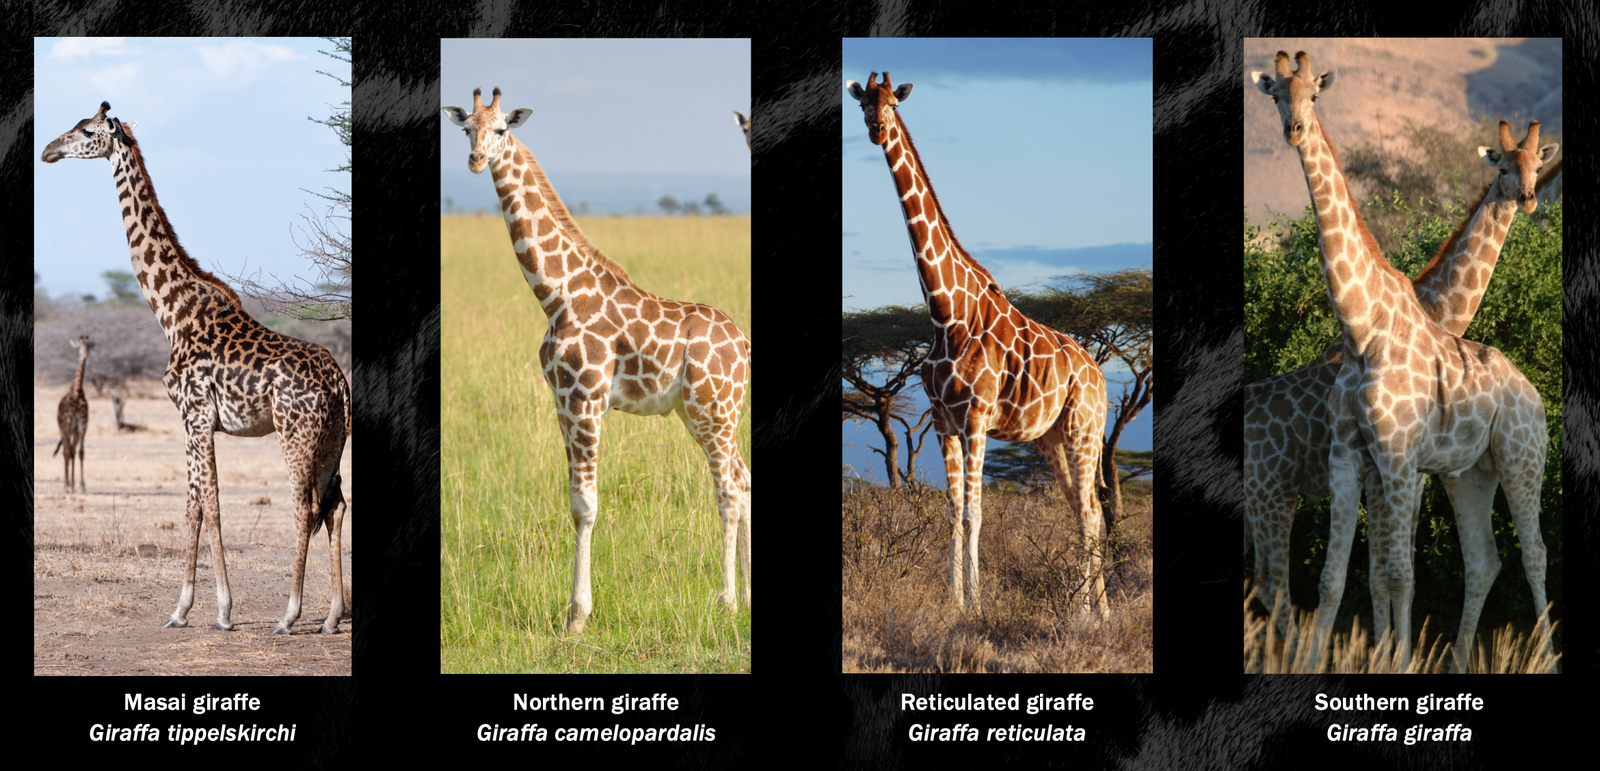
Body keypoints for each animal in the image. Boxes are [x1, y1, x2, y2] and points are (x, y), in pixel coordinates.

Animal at [53, 335, 93, 492]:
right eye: (80, 347)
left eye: (90, 346)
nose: (85, 356)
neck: (77, 393)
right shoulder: (69, 424)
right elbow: (68, 452)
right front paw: (67, 485)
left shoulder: (82, 425)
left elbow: (81, 452)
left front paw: (82, 484)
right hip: (63, 428)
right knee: (66, 451)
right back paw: (66, 484)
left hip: (74, 431)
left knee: (73, 451)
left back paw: (72, 483)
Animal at [443, 88, 752, 634]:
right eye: (466, 129)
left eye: (501, 129)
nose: (477, 159)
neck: (557, 295)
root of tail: (745, 346)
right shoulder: (563, 404)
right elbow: (572, 501)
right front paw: (574, 611)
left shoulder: (585, 401)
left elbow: (586, 505)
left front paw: (577, 617)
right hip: (705, 415)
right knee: (746, 480)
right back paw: (751, 597)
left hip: (713, 412)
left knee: (729, 489)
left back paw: (728, 602)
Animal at [846, 73, 1110, 616]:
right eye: (863, 104)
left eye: (892, 104)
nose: (877, 130)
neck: (945, 312)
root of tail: (1101, 377)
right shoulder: (943, 423)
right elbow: (953, 512)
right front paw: (956, 602)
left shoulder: (976, 419)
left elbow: (976, 512)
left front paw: (979, 606)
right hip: (1053, 438)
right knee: (1085, 511)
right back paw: (1094, 612)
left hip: (1084, 430)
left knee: (1091, 512)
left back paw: (1087, 611)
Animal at [1251, 52, 1552, 670]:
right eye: (1276, 95)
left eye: (1313, 95)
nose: (1294, 130)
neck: (1364, 327)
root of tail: (1533, 391)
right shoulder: (1357, 460)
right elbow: (1344, 577)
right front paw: (1341, 661)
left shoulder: (1399, 463)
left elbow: (1390, 572)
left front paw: (1395, 658)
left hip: (1518, 458)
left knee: (1531, 552)